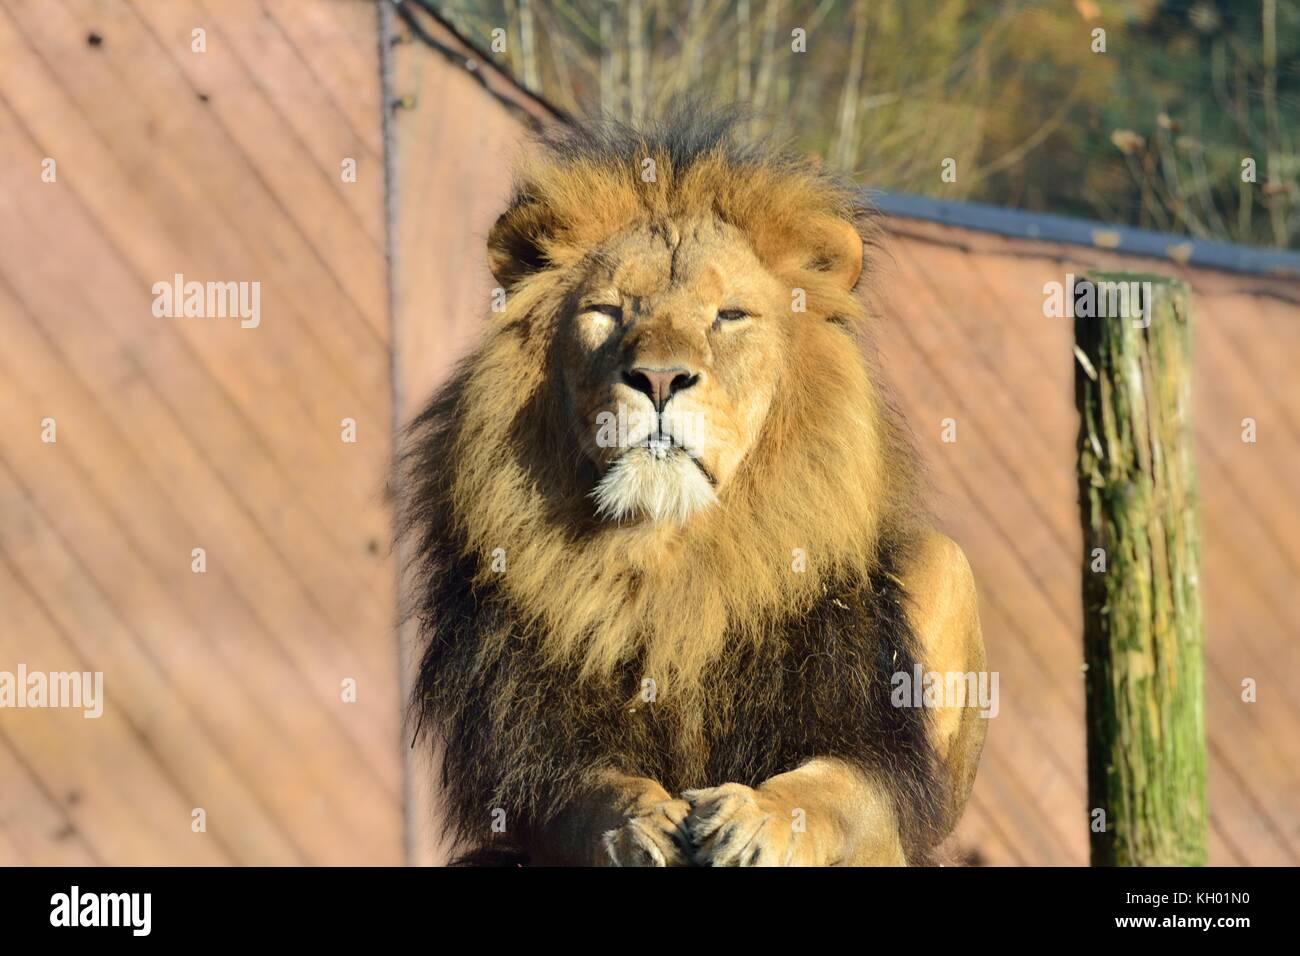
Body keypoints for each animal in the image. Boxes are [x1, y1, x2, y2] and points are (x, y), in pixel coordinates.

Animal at [398, 108, 987, 867]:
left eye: (728, 316)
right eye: (607, 312)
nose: (657, 378)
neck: (676, 555)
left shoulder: (878, 760)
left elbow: (831, 789)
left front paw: (760, 819)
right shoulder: (529, 763)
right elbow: (592, 796)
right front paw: (638, 827)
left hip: (945, 560)